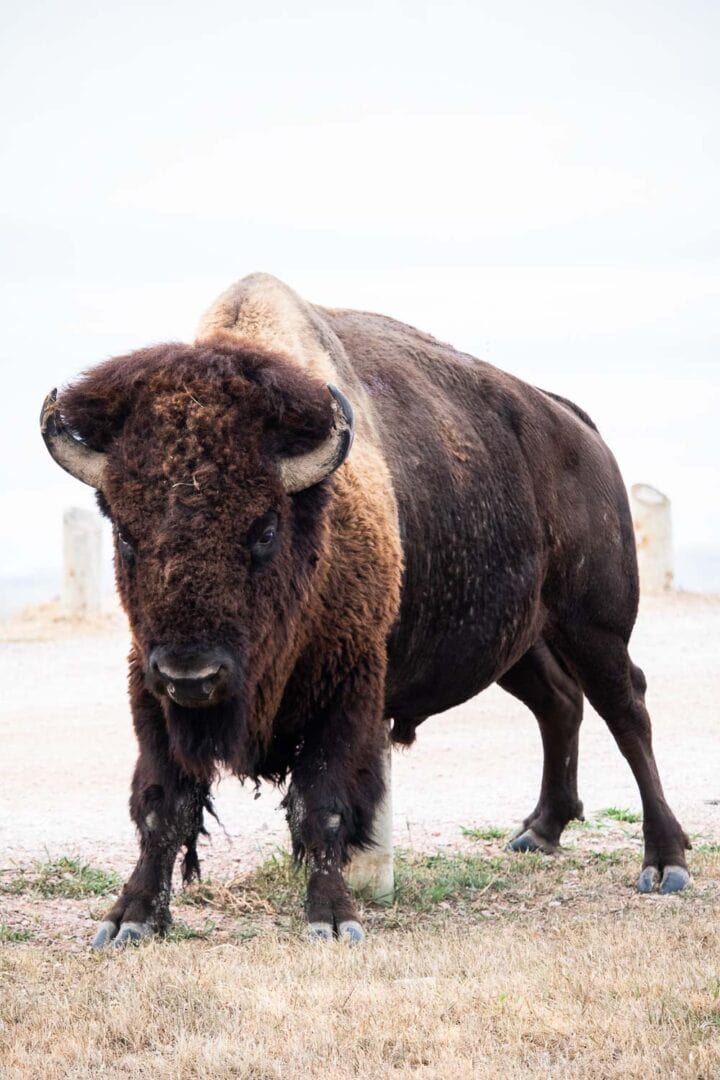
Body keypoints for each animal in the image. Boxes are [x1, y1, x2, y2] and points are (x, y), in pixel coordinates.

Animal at [40, 273, 690, 945]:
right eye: (124, 532)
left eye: (264, 527)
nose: (192, 674)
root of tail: (579, 428)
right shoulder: (151, 692)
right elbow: (162, 803)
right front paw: (130, 918)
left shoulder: (346, 688)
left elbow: (321, 806)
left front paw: (333, 919)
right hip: (520, 643)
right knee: (559, 704)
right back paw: (538, 833)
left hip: (596, 625)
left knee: (628, 712)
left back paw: (664, 862)